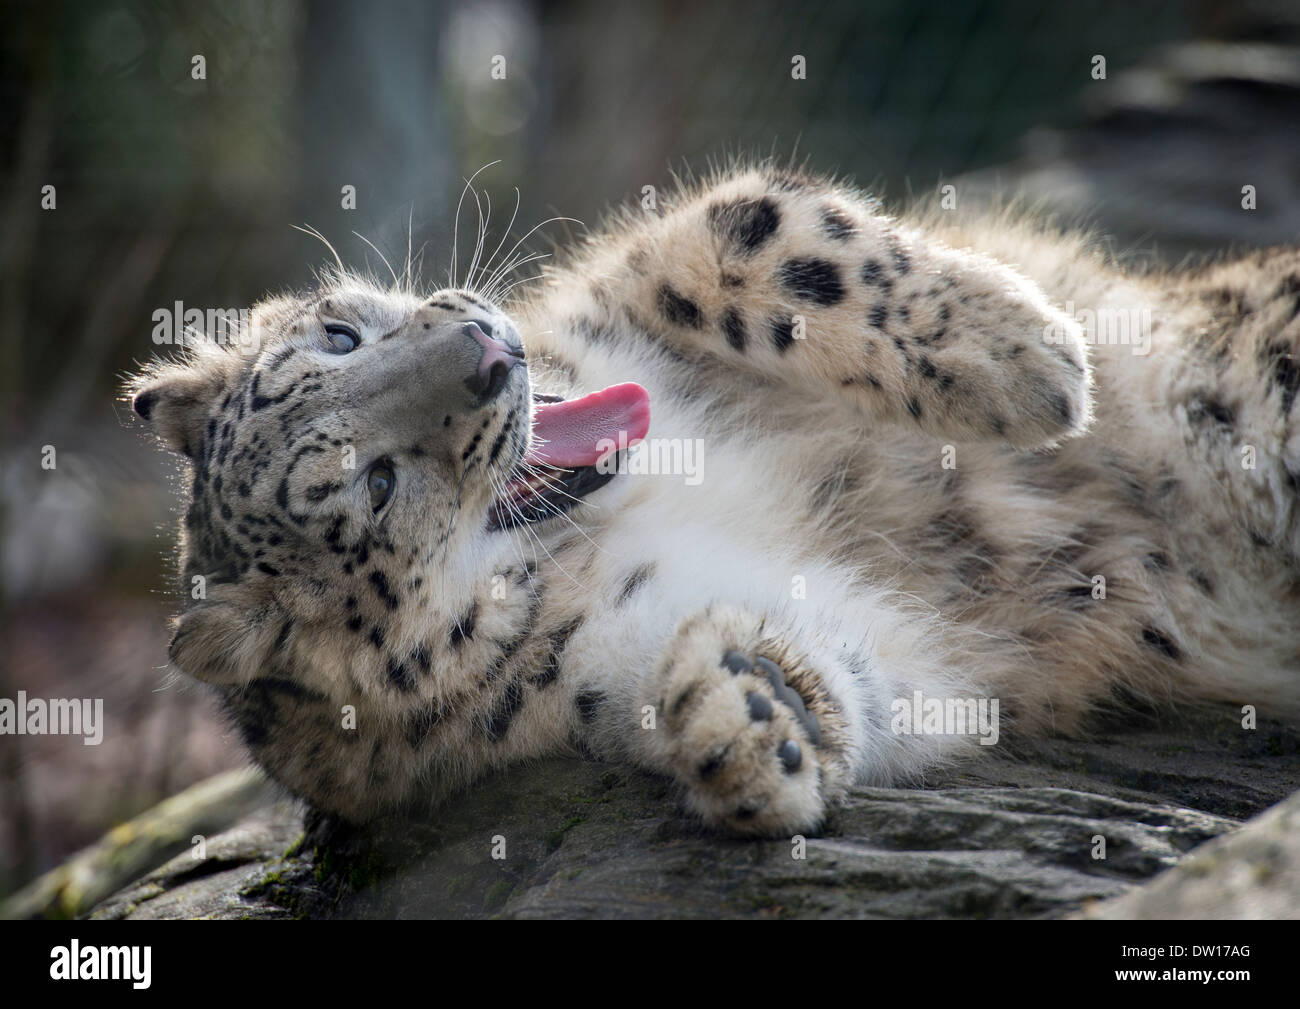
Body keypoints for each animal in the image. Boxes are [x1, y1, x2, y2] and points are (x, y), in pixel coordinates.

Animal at [125, 161, 1300, 836]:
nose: (487, 354)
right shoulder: (617, 653)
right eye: (376, 484)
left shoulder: (624, 295)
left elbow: (741, 227)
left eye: (338, 334)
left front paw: (1027, 354)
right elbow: (858, 676)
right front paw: (749, 714)